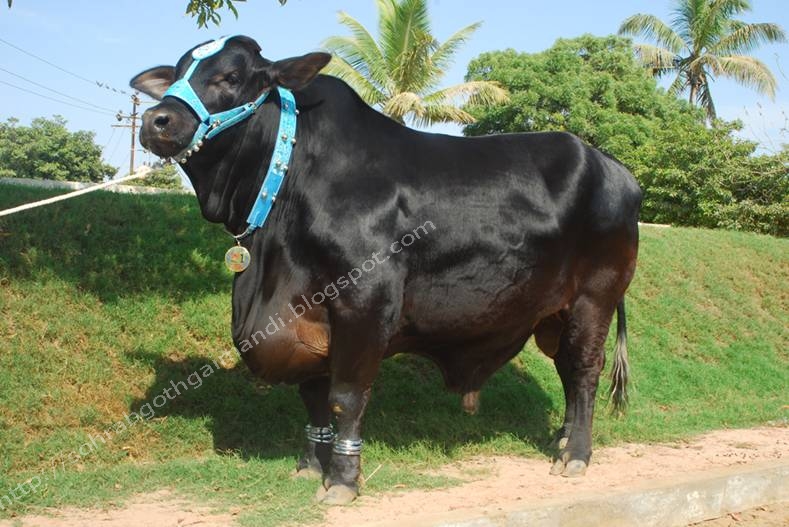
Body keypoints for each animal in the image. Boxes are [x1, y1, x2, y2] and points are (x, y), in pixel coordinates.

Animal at [130, 35, 641, 505]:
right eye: (178, 71)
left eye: (231, 77)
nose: (157, 119)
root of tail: (615, 168)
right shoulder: (307, 317)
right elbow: (313, 396)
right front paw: (310, 463)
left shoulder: (364, 304)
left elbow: (345, 396)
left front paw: (341, 479)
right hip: (554, 313)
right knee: (567, 369)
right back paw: (562, 437)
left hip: (594, 299)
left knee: (584, 370)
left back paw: (575, 453)